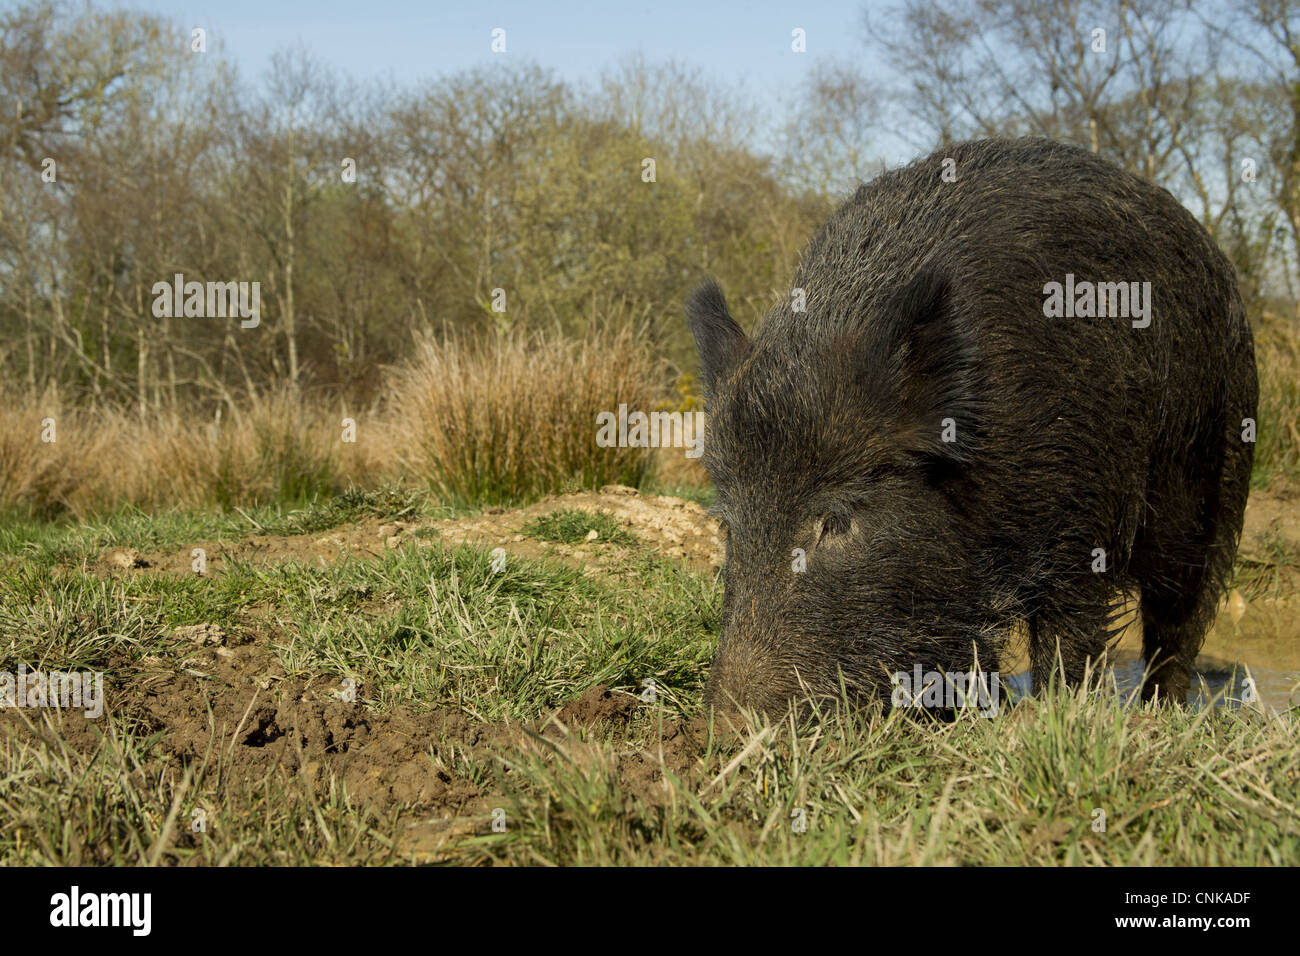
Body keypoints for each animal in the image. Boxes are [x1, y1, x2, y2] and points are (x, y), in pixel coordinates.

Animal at [688, 137, 1257, 713]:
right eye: (728, 525)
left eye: (836, 521)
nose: (725, 723)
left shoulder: (1085, 516)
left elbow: (1068, 635)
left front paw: (1049, 713)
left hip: (1217, 478)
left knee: (1179, 618)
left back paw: (1159, 710)